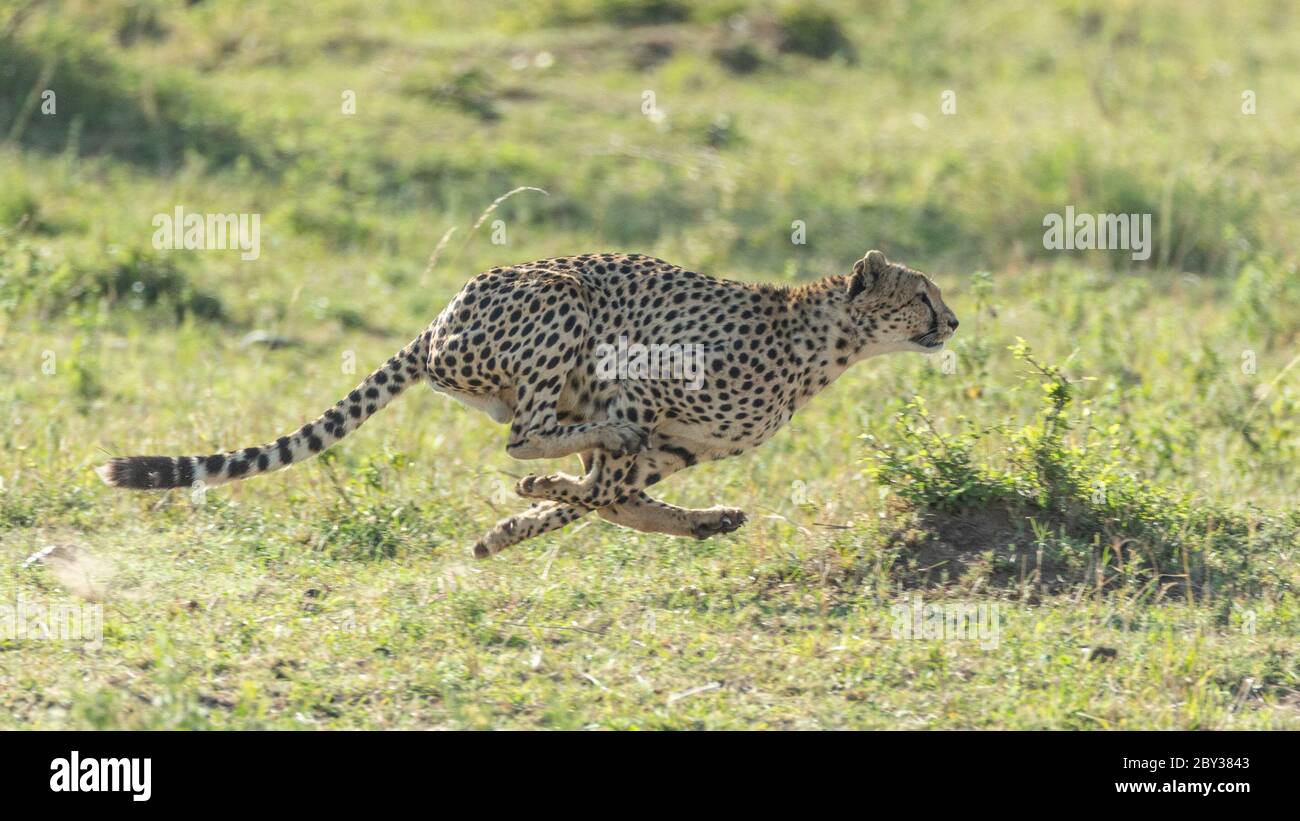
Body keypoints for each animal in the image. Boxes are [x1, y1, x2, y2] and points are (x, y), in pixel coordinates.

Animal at [96, 249, 959, 558]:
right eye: (922, 293)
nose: (952, 320)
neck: (822, 342)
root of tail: (438, 317)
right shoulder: (640, 380)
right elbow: (599, 483)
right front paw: (529, 502)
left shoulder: (680, 446)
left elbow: (606, 498)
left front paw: (508, 529)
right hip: (563, 297)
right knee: (523, 436)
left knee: (571, 464)